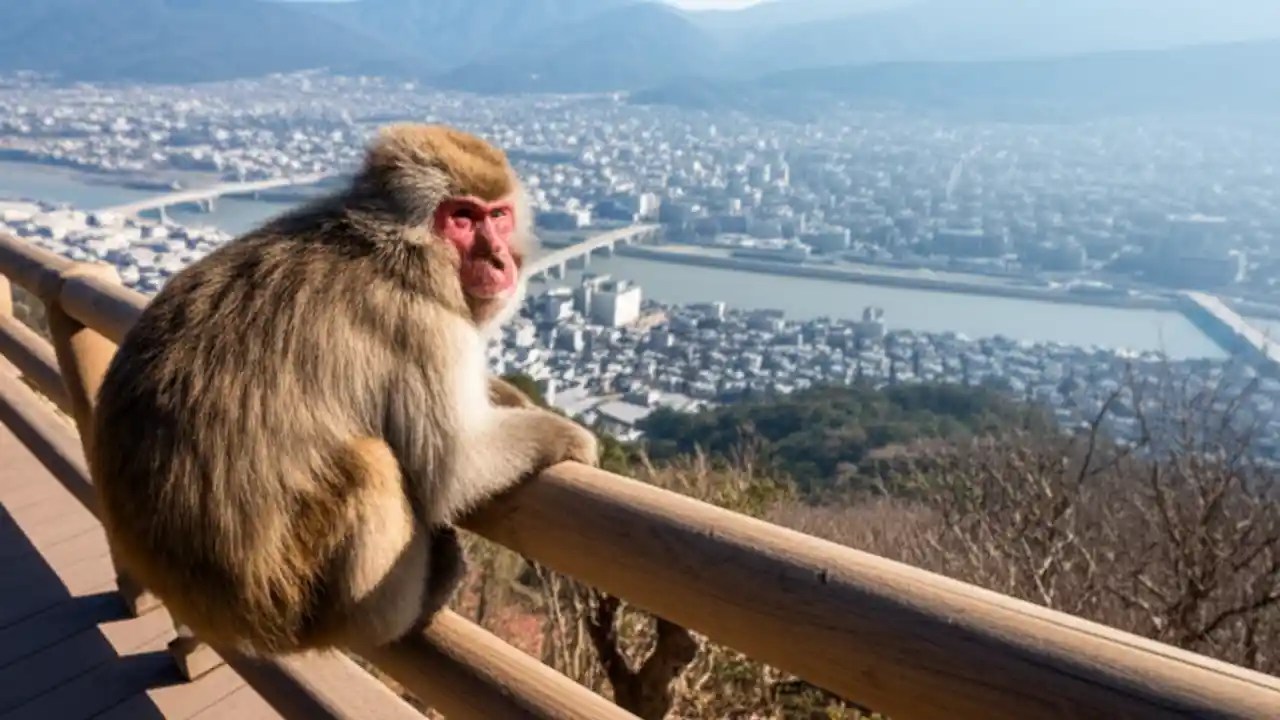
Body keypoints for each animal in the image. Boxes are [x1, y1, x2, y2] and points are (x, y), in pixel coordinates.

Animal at [88, 123, 600, 657]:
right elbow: (457, 467)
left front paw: (516, 398)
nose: (500, 259)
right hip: (289, 589)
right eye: (462, 219)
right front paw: (570, 436)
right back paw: (396, 610)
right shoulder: (420, 327)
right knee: (372, 465)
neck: (397, 252)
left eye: (498, 217)